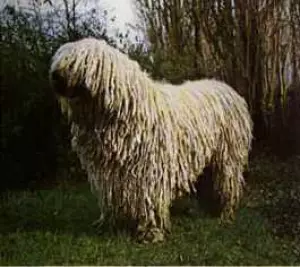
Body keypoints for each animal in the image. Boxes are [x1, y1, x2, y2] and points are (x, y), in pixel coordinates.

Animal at [49, 37, 253, 245]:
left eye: (76, 62)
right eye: (60, 59)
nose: (55, 75)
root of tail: (230, 90)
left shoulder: (150, 171)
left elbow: (151, 202)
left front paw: (151, 232)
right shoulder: (109, 173)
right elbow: (112, 195)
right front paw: (111, 224)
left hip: (227, 157)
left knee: (229, 183)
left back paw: (225, 214)